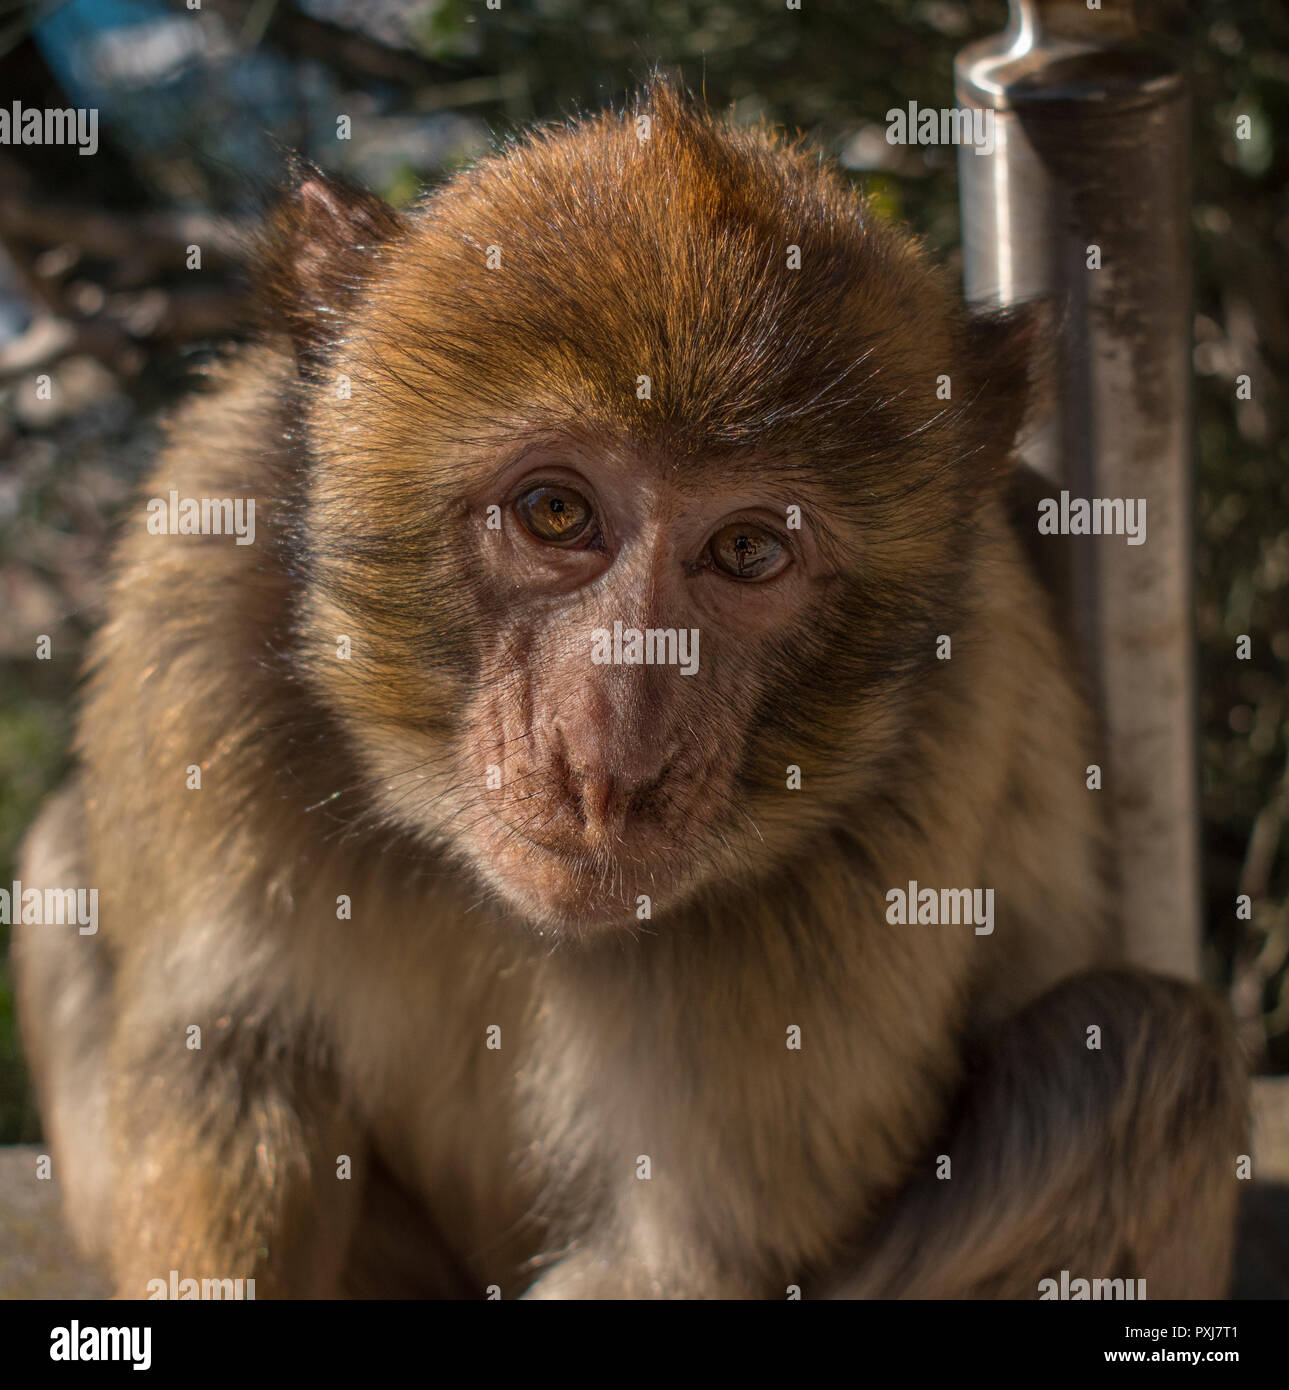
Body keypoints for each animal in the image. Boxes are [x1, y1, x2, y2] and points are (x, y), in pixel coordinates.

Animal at [12, 81, 1246, 1300]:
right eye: (556, 512)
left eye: (746, 549)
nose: (611, 763)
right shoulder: (201, 590)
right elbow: (222, 1067)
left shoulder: (925, 771)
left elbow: (678, 1255)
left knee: (1137, 1055)